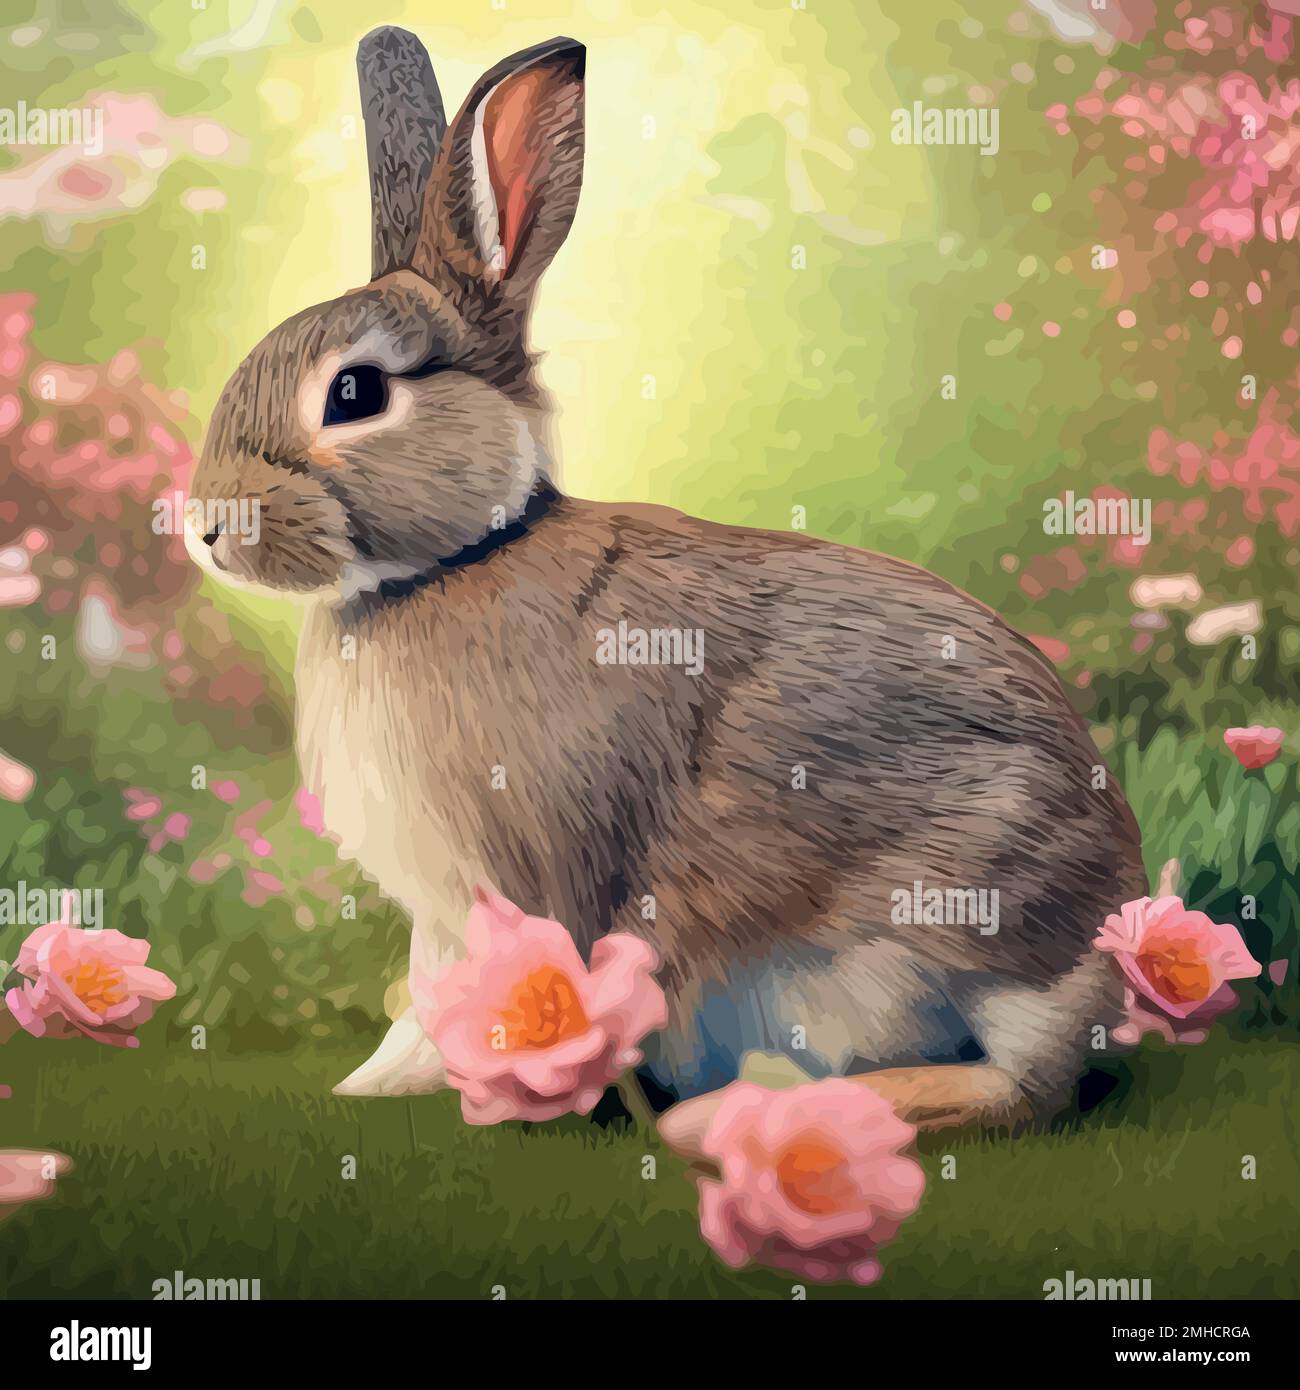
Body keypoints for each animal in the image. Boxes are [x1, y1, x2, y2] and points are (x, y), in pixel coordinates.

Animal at [185, 26, 1148, 1131]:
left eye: (353, 392)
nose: (206, 527)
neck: (458, 563)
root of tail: (1105, 943)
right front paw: (373, 1084)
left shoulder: (520, 872)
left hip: (961, 900)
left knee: (1023, 1086)